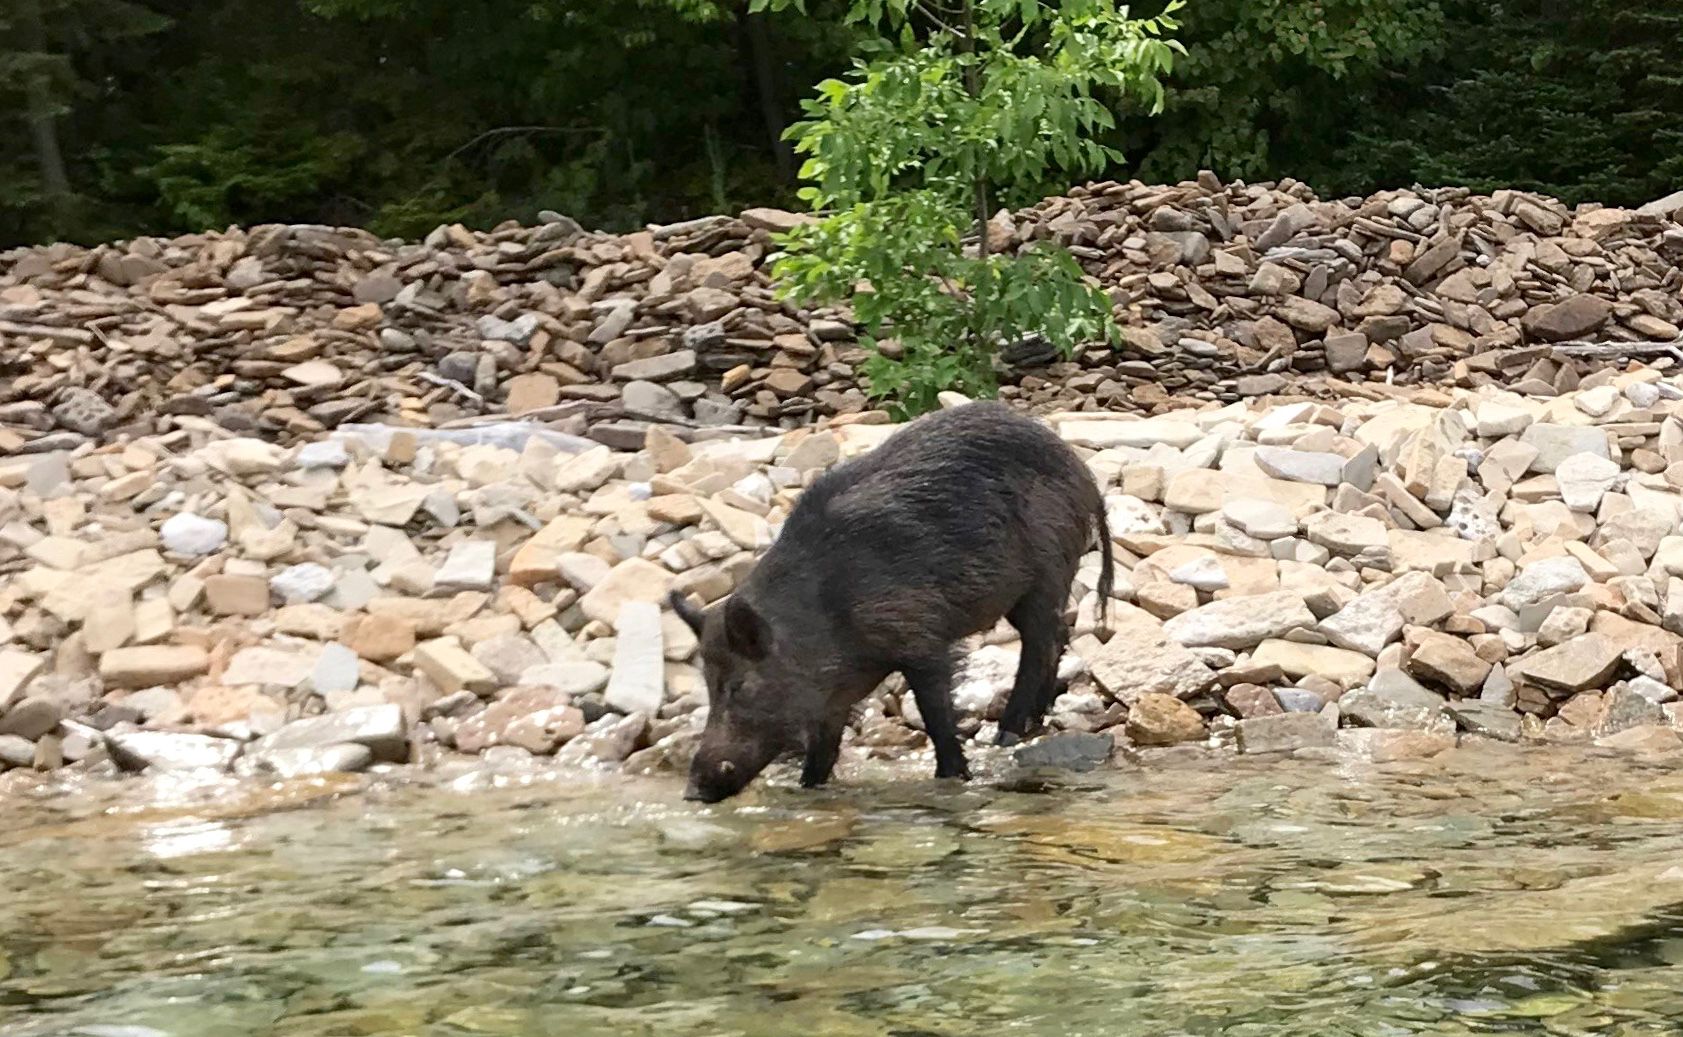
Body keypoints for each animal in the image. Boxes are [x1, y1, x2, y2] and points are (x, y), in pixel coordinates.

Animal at [669, 401, 1113, 802]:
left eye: (739, 686)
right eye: (707, 684)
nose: (692, 792)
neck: (828, 618)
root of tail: (1083, 473)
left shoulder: (921, 638)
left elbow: (936, 716)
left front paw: (952, 777)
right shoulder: (831, 698)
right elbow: (823, 751)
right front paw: (810, 789)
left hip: (1046, 571)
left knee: (1042, 639)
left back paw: (1006, 735)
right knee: (1057, 634)